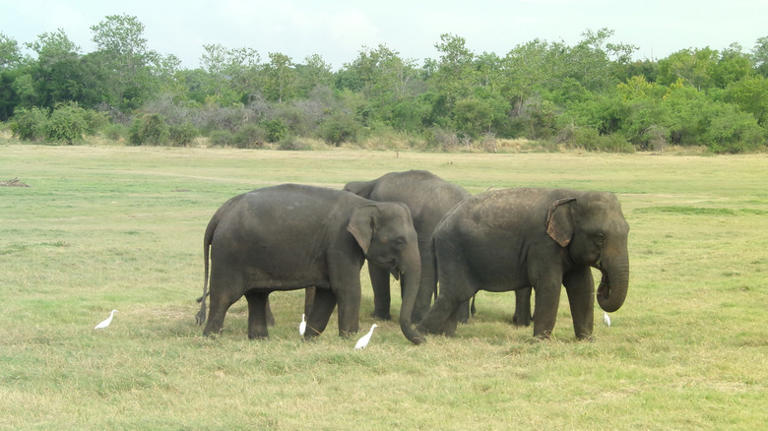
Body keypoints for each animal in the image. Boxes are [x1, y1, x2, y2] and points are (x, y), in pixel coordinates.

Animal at [195, 184, 425, 345]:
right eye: (399, 241)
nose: (422, 339)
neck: (365, 204)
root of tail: (220, 212)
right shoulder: (340, 243)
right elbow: (347, 288)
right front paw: (350, 338)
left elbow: (328, 292)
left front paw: (309, 339)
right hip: (229, 254)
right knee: (224, 297)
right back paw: (211, 339)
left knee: (257, 297)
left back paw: (260, 340)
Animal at [417, 188, 629, 342]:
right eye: (600, 237)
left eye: (628, 231)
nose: (605, 282)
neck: (573, 195)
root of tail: (438, 228)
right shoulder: (542, 244)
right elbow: (549, 285)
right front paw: (540, 341)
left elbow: (583, 286)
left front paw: (586, 341)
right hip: (452, 251)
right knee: (453, 294)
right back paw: (421, 334)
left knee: (455, 296)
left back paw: (446, 335)